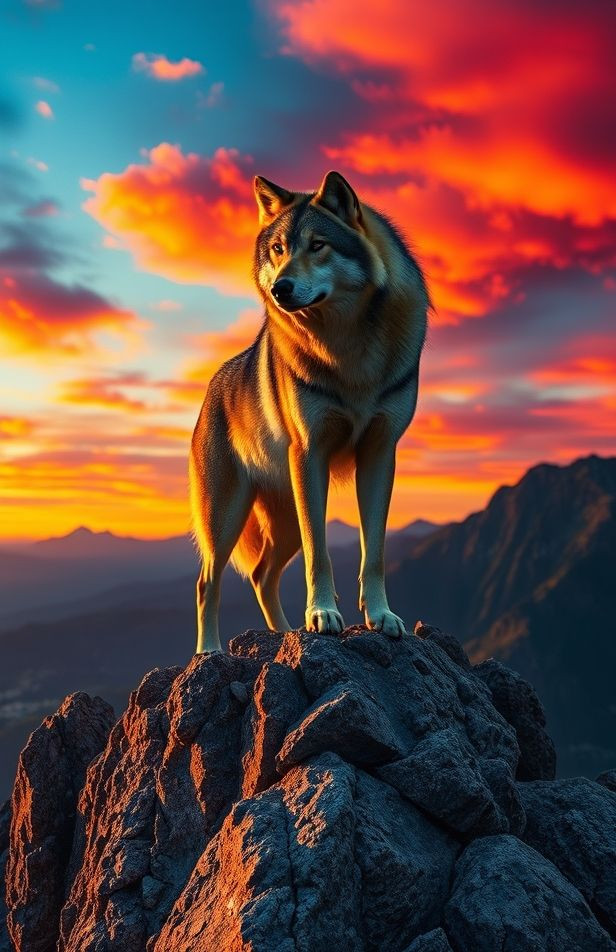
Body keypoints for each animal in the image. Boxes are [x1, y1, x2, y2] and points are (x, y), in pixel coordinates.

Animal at [190, 170, 428, 653]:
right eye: (278, 249)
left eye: (318, 245)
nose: (279, 288)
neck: (348, 350)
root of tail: (212, 388)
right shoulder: (310, 454)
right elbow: (320, 552)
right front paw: (322, 615)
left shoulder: (380, 454)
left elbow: (374, 551)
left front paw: (381, 617)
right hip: (228, 516)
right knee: (208, 583)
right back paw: (209, 652)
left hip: (283, 520)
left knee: (261, 575)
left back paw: (284, 635)